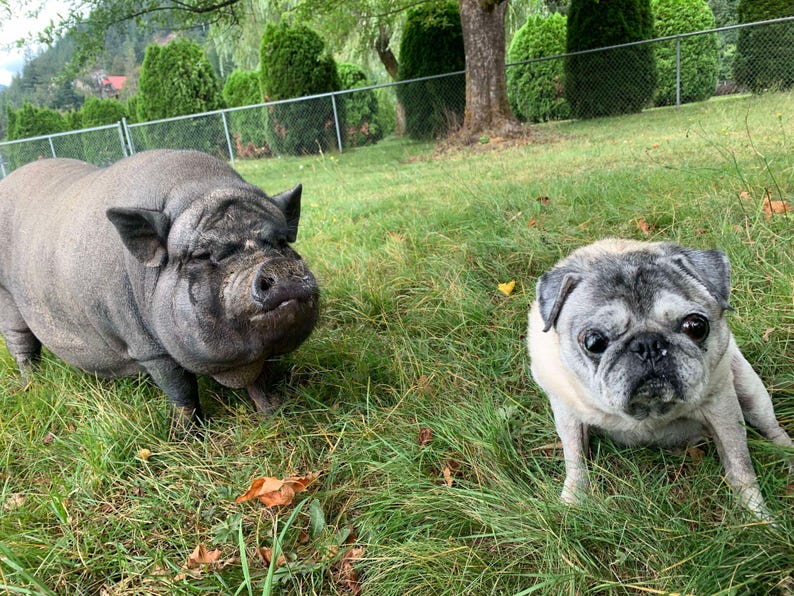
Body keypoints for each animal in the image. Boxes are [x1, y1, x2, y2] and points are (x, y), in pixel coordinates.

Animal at [0, 149, 319, 428]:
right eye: (201, 255)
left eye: (281, 242)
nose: (277, 266)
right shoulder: (149, 349)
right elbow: (182, 391)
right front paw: (187, 434)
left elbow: (260, 380)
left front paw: (273, 413)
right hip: (8, 300)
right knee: (22, 345)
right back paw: (31, 384)